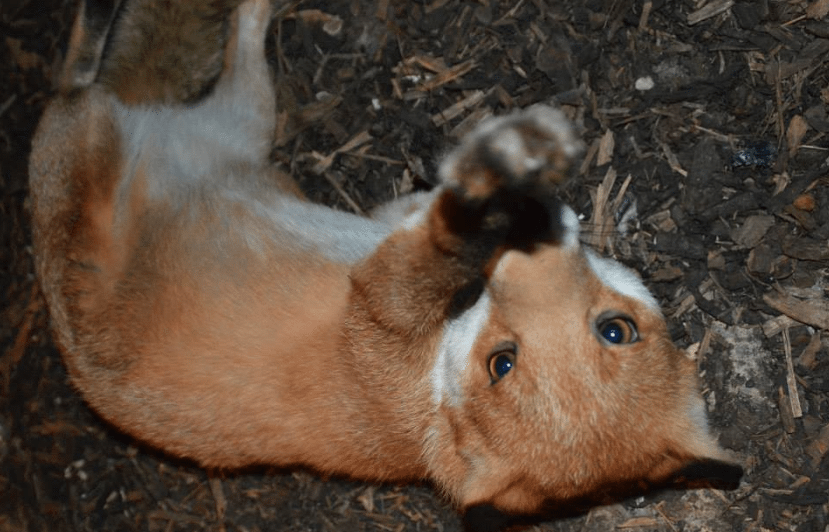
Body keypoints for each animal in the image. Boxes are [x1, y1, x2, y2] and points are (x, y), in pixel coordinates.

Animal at [28, 0, 742, 530]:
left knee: (92, 78)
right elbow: (423, 223)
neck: (427, 390)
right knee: (100, 74)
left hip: (198, 123)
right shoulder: (385, 276)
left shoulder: (379, 305)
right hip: (226, 121)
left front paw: (492, 178)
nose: (528, 251)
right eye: (504, 362)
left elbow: (436, 239)